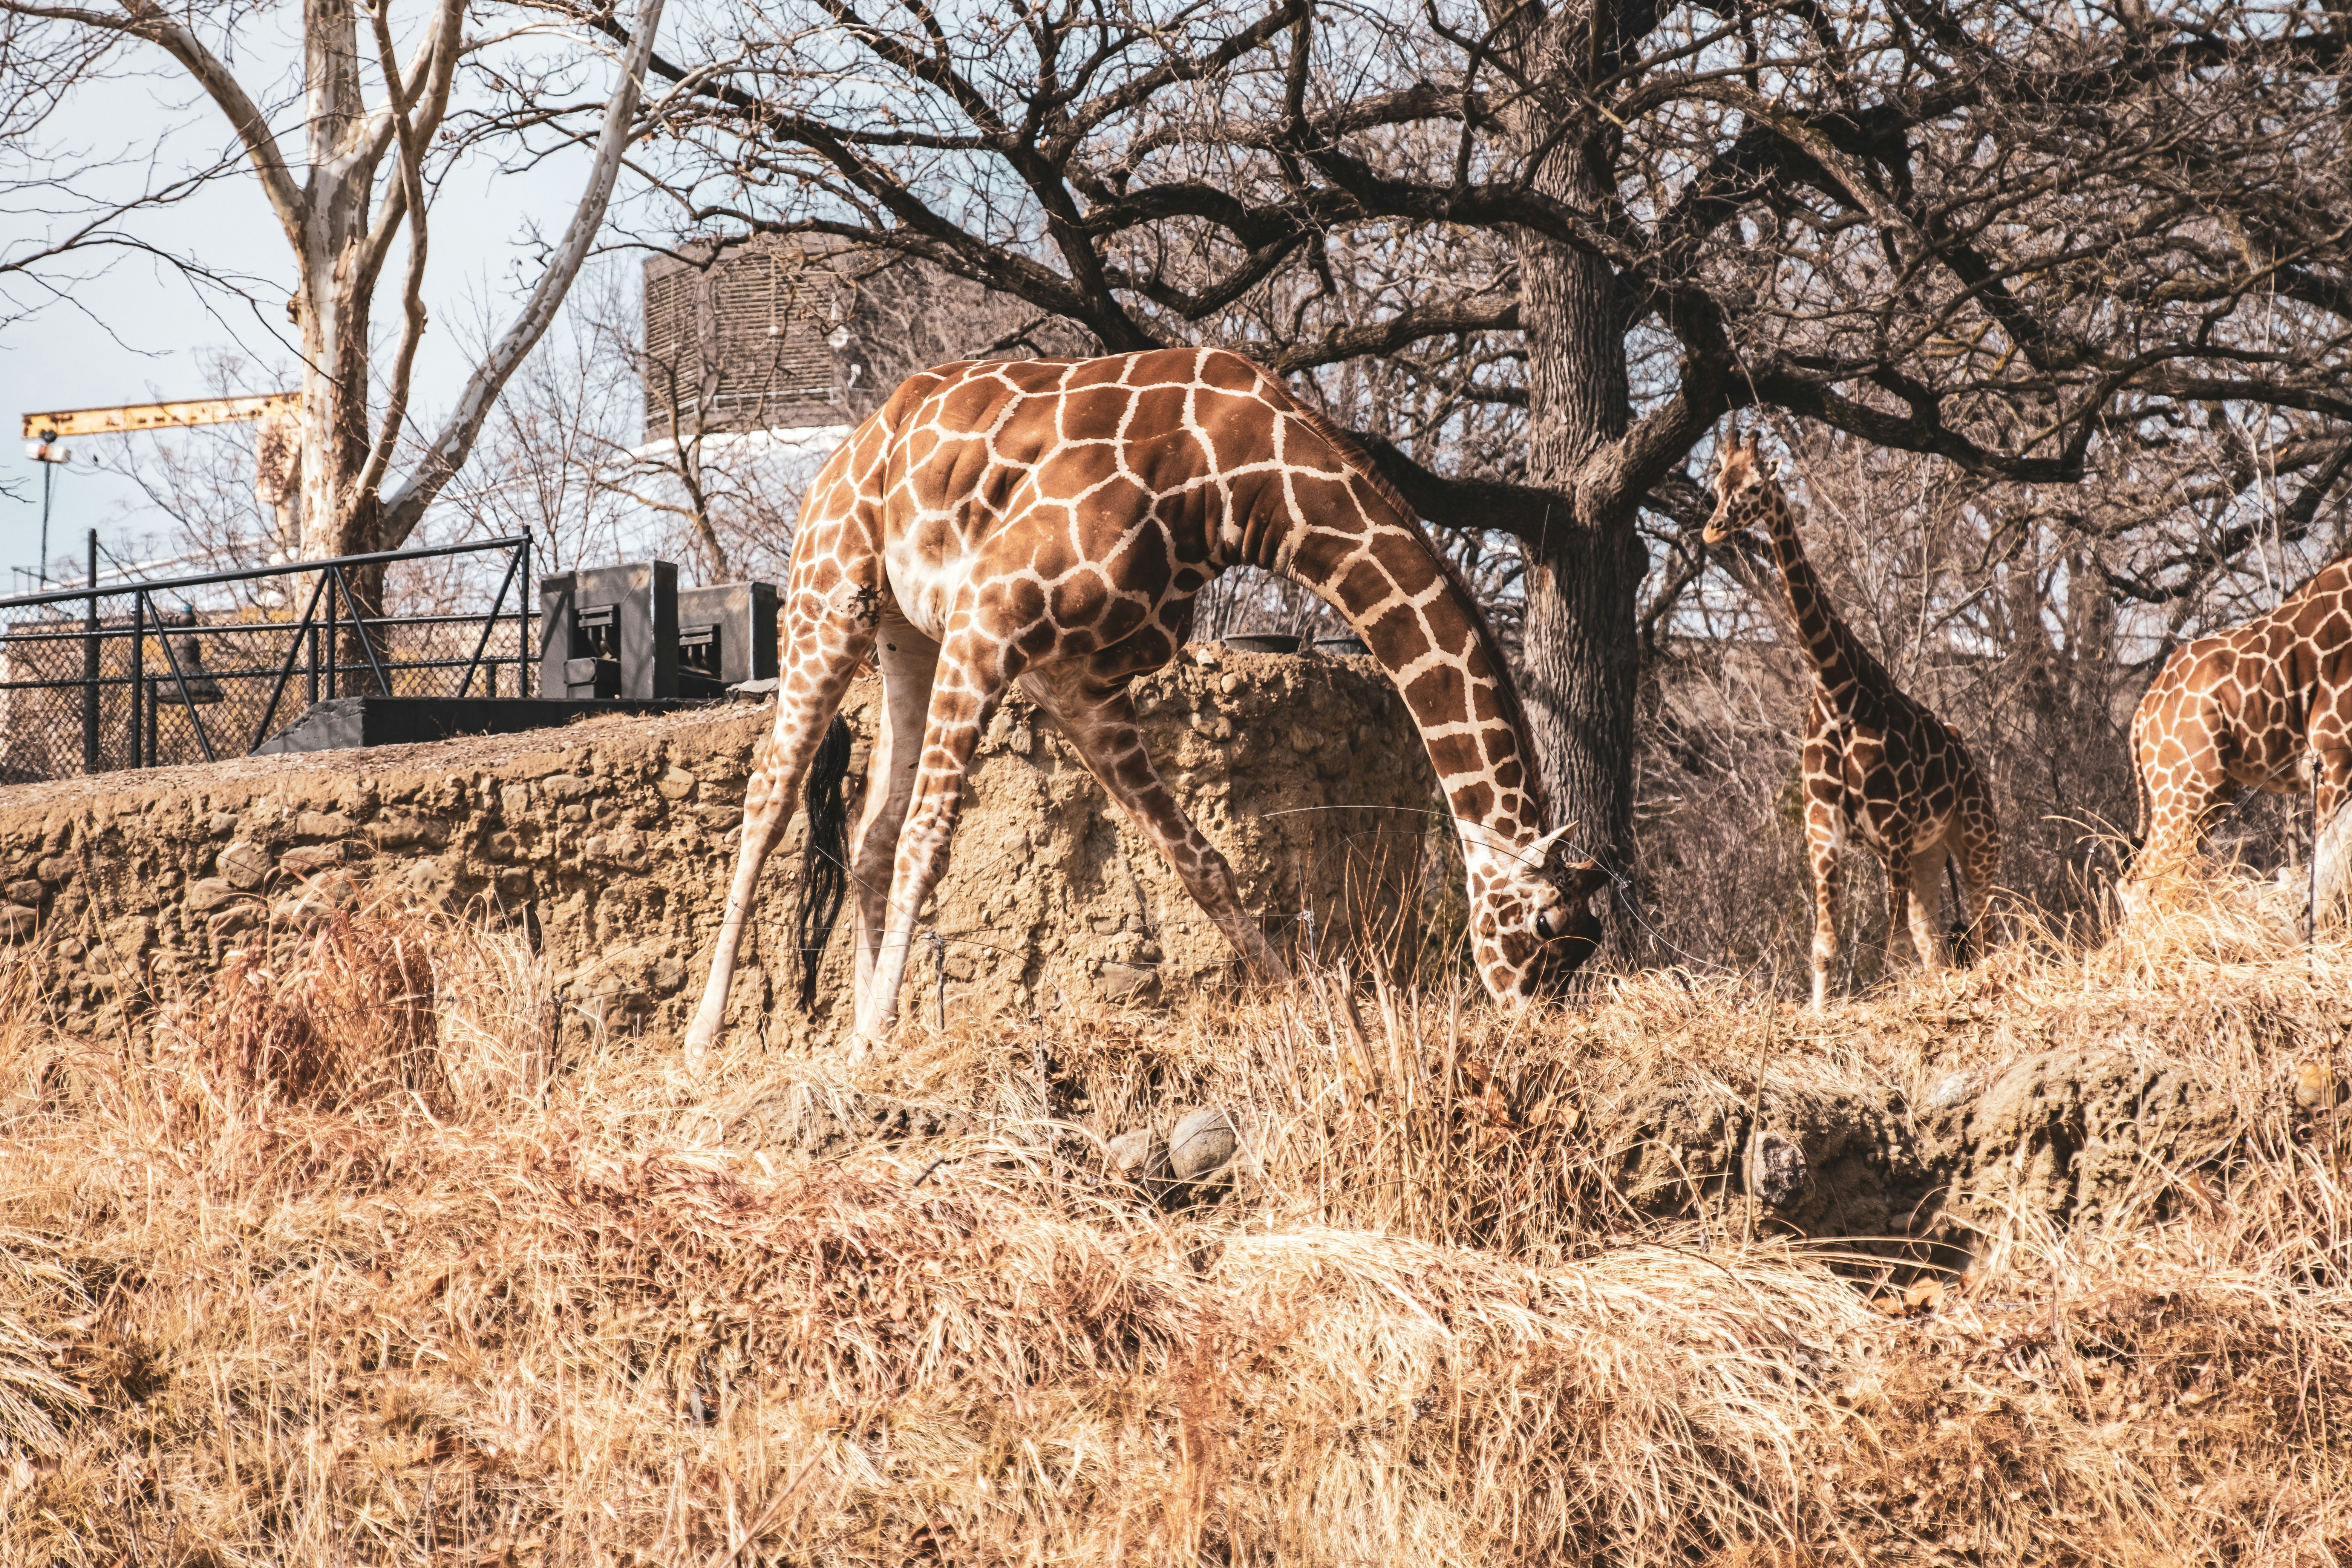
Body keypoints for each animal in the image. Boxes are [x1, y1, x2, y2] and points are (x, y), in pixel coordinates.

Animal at [681, 348, 1609, 1063]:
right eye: (1544, 928)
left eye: (1588, 943)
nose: (1539, 1028)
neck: (1239, 482)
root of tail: (856, 442)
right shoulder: (992, 620)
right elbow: (931, 840)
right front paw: (872, 1044)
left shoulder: (1082, 684)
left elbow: (1205, 864)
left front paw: (1306, 1011)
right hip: (830, 592)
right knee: (772, 800)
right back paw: (707, 1037)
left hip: (907, 633)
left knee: (870, 833)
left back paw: (867, 1021)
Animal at [1702, 436, 2002, 1010]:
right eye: (1716, 486)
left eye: (1754, 487)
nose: (1712, 529)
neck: (1838, 692)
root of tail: (1970, 760)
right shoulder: (1823, 828)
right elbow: (1826, 944)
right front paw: (1819, 1016)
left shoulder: (1891, 831)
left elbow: (1893, 950)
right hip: (1928, 853)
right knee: (1935, 941)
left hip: (1976, 837)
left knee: (1986, 928)